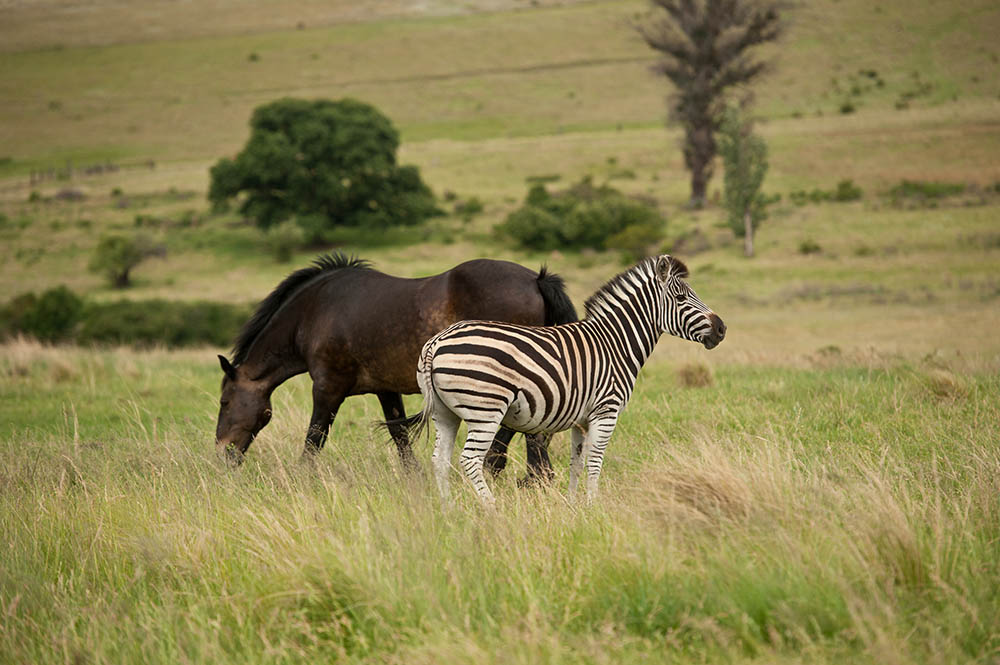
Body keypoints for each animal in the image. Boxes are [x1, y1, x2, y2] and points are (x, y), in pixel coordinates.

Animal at [214, 253, 578, 479]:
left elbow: (315, 436)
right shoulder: (385, 389)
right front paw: (414, 478)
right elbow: (399, 433)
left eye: (224, 402)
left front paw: (303, 475)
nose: (223, 454)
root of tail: (536, 280)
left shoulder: (328, 387)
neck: (314, 312)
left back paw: (507, 469)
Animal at [402, 254, 726, 506]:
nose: (721, 329)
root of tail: (437, 342)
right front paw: (594, 507)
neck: (615, 344)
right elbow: (595, 462)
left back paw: (448, 511)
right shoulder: (606, 412)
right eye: (681, 298)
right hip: (486, 410)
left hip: (445, 412)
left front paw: (573, 506)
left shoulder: (581, 420)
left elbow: (577, 463)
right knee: (469, 460)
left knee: (440, 460)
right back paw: (490, 509)